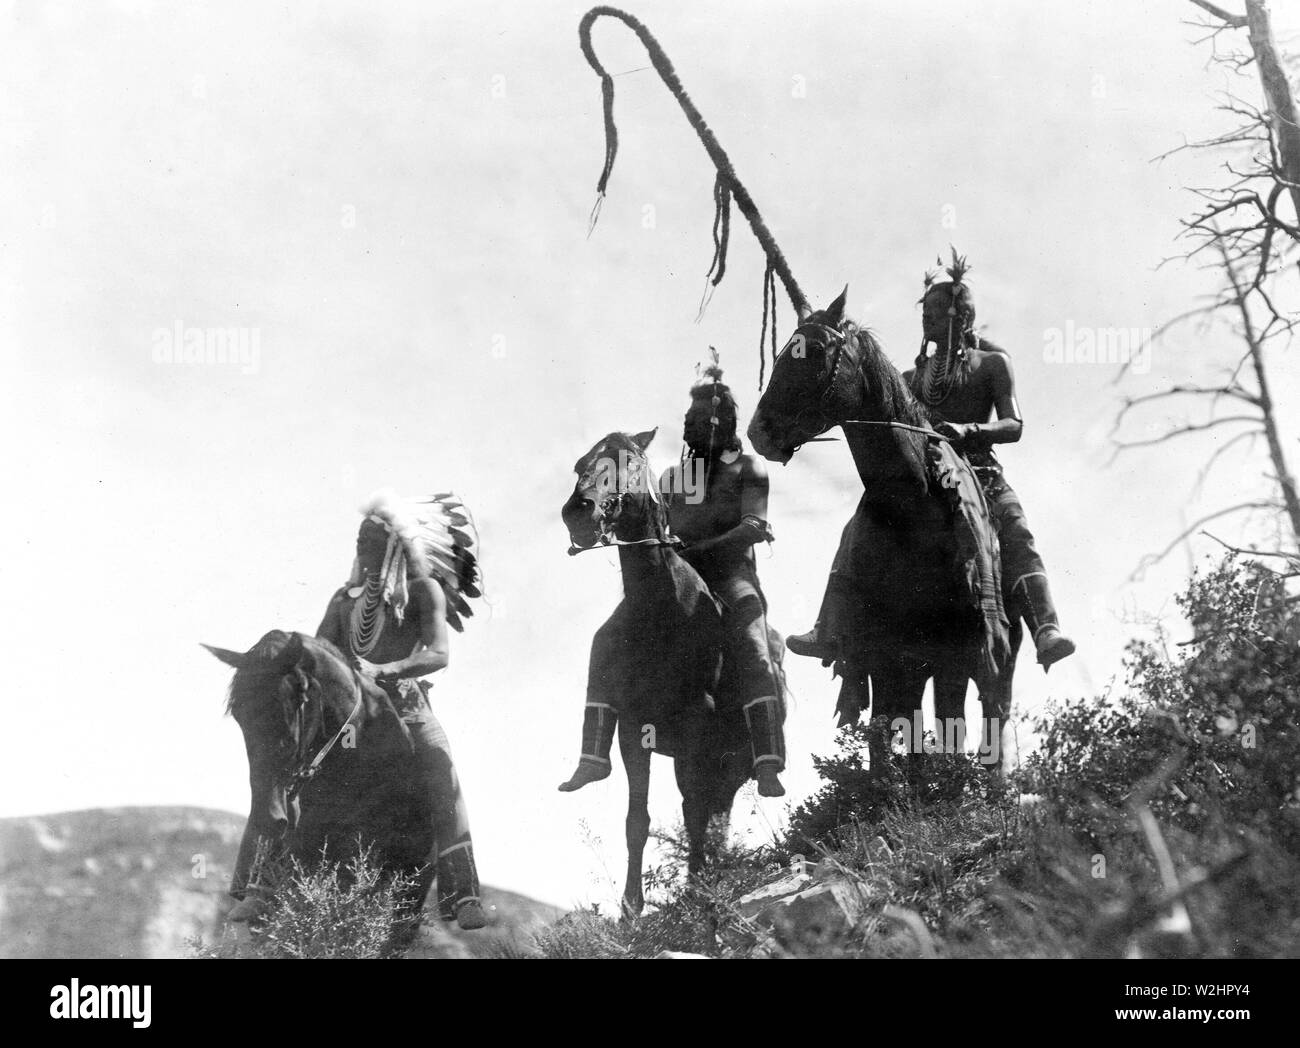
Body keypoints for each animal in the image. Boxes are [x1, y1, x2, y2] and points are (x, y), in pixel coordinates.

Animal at [560, 428, 787, 916]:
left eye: (628, 461)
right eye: (580, 465)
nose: (579, 510)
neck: (662, 613)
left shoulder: (693, 729)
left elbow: (693, 811)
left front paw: (697, 890)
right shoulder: (633, 730)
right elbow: (637, 819)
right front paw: (630, 908)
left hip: (733, 761)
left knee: (712, 811)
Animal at [746, 289, 1018, 768]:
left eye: (816, 350)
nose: (758, 430)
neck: (913, 511)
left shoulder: (952, 658)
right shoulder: (882, 658)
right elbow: (884, 750)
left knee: (990, 726)